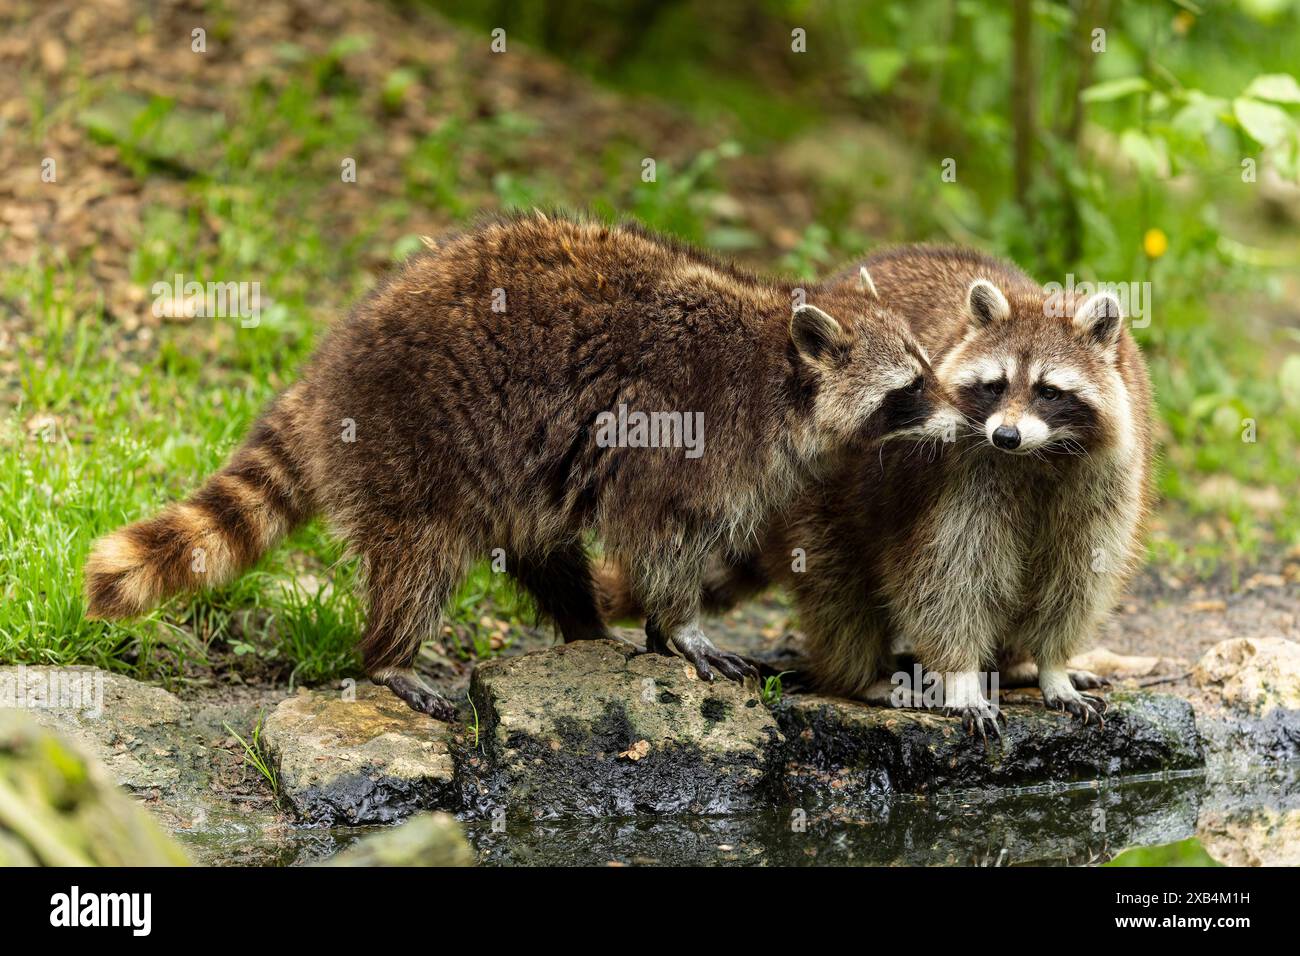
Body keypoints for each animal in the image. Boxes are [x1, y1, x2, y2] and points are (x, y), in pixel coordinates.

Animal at [83, 212, 946, 718]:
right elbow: (660, 535)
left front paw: (659, 631)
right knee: (418, 557)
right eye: (909, 389)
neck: (782, 369)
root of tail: (327, 374)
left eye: (928, 369)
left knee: (543, 546)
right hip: (409, 441)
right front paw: (680, 624)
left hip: (504, 470)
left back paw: (583, 627)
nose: (964, 415)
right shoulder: (691, 432)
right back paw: (389, 655)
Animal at [598, 246, 1154, 739]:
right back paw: (863, 675)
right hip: (808, 485)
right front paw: (963, 678)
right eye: (996, 386)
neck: (1040, 457)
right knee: (837, 583)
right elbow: (948, 571)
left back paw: (1013, 664)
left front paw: (1051, 665)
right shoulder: (955, 471)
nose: (1005, 436)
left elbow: (1079, 570)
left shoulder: (1105, 476)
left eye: (1048, 391)